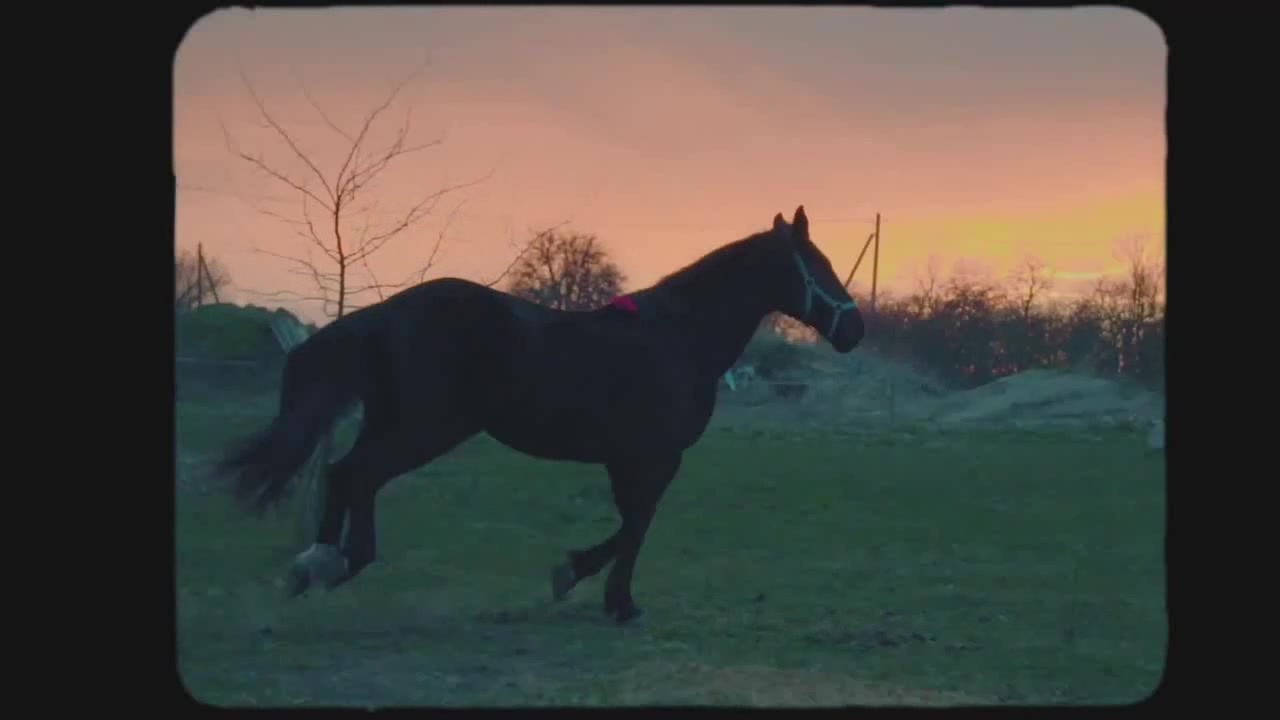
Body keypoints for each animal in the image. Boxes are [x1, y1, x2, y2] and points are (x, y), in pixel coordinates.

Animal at [214, 205, 865, 625]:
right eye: (817, 266)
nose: (855, 329)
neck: (678, 335)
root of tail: (386, 314)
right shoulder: (654, 457)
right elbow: (638, 524)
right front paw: (603, 592)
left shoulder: (627, 458)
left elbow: (631, 522)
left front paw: (591, 583)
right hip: (426, 428)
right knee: (355, 475)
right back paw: (323, 565)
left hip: (399, 423)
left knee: (348, 475)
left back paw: (322, 566)